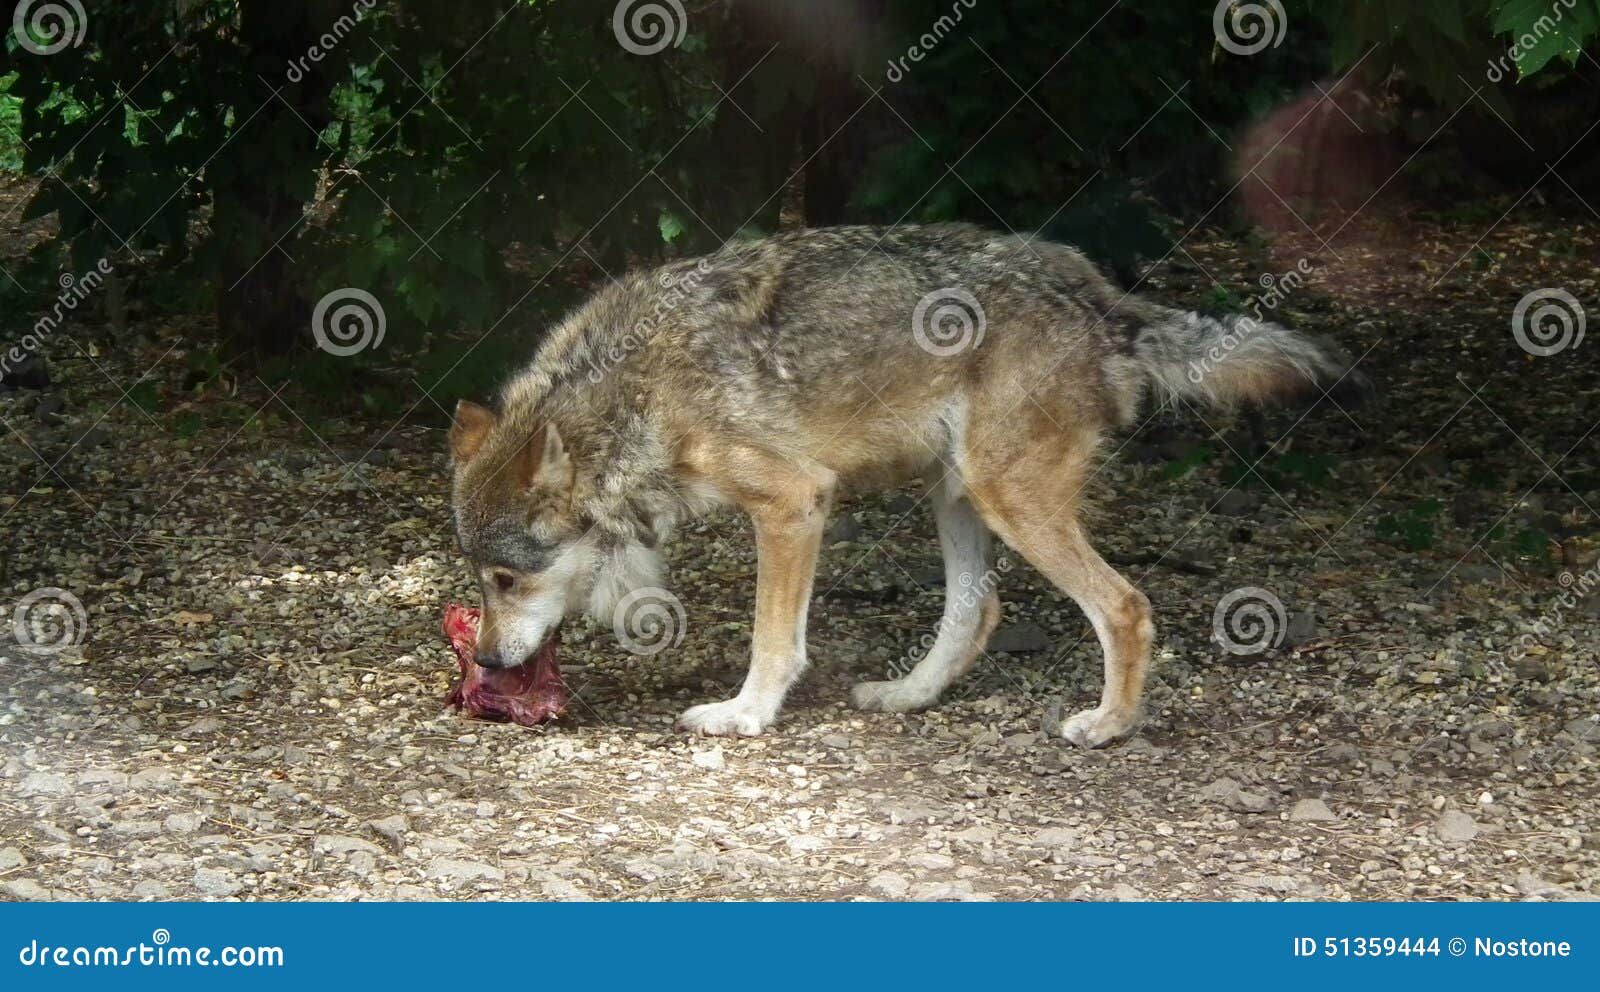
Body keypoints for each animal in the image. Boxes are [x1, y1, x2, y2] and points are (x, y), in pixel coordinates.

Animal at [449, 224, 1358, 746]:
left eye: (506, 579)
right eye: (481, 583)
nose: (485, 661)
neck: (633, 394)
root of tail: (1103, 297)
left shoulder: (794, 503)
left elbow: (773, 641)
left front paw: (744, 716)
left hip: (1005, 498)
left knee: (1125, 605)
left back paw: (1107, 727)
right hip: (955, 494)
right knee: (977, 610)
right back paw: (909, 696)